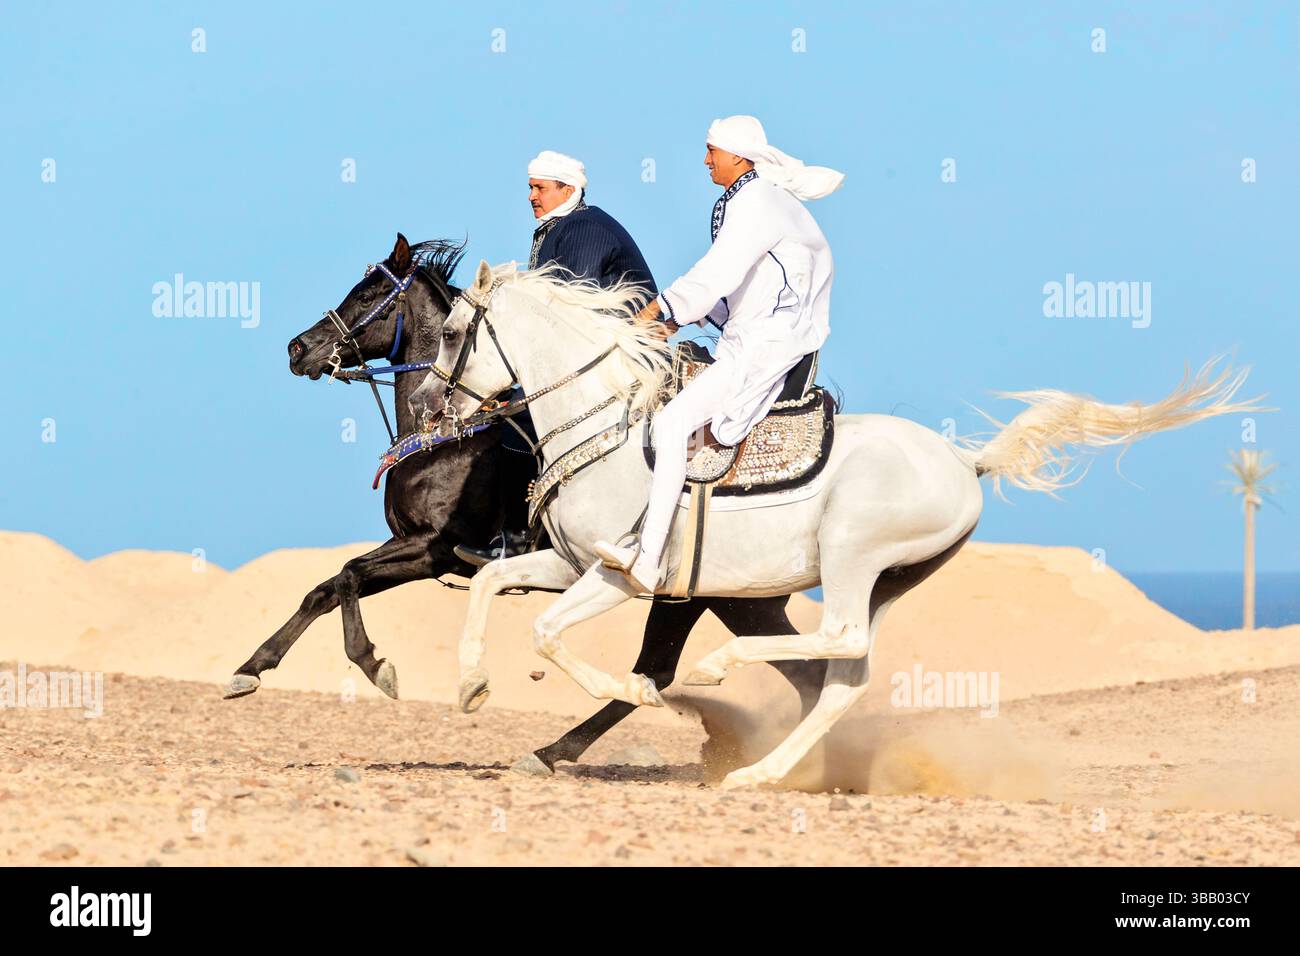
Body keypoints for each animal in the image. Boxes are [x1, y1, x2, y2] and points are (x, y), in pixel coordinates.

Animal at [225, 233, 827, 773]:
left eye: (369, 292)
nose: (298, 349)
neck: (447, 437)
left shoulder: (431, 549)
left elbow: (347, 576)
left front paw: (376, 666)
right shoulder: (416, 548)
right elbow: (324, 588)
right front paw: (250, 668)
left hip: (695, 596)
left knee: (670, 671)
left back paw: (557, 751)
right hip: (735, 601)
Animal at [409, 258, 1264, 789]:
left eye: (450, 333)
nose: (427, 406)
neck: (610, 429)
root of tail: (966, 463)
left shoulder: (620, 577)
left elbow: (549, 635)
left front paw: (633, 691)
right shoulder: (570, 563)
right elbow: (489, 583)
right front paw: (473, 685)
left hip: (850, 554)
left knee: (837, 643)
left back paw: (720, 678)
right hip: (884, 578)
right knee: (843, 678)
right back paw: (759, 771)